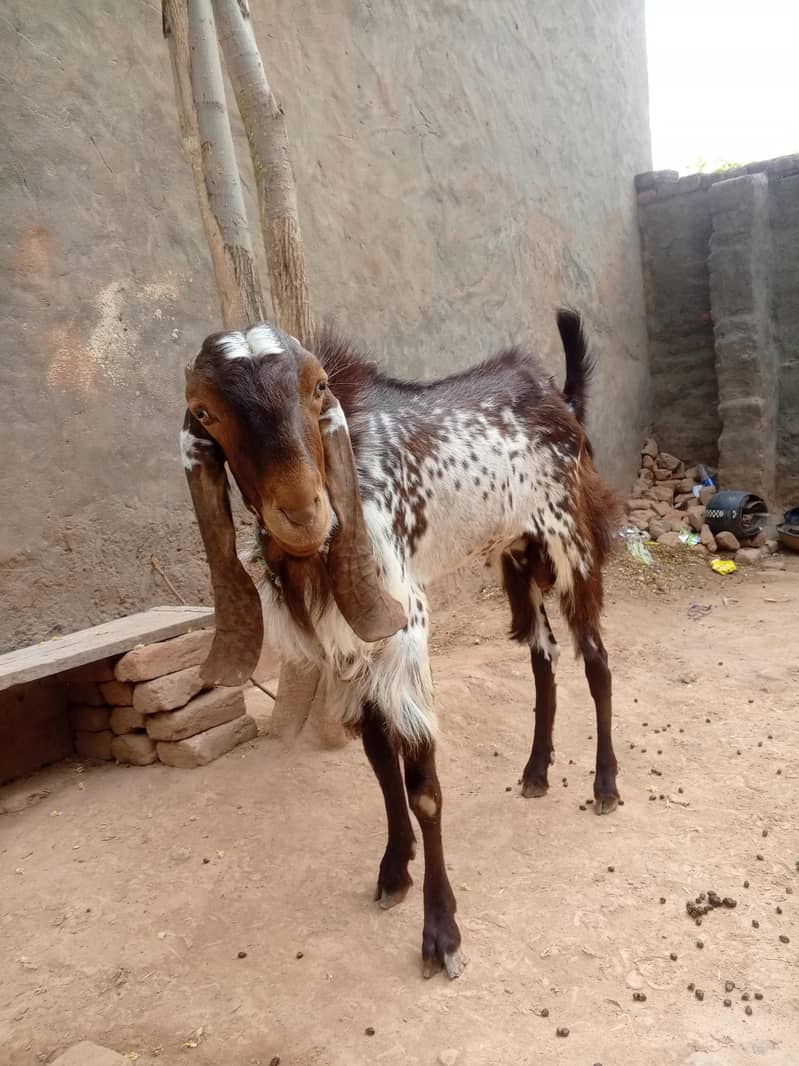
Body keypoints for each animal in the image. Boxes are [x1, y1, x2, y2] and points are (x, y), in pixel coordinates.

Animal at [181, 310, 620, 980]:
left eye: (316, 388)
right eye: (206, 413)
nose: (303, 512)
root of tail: (558, 397)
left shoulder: (403, 627)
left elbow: (424, 790)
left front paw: (442, 934)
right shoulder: (348, 647)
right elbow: (381, 766)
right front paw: (394, 870)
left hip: (571, 542)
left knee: (595, 660)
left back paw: (604, 785)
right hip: (517, 552)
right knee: (542, 659)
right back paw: (536, 771)